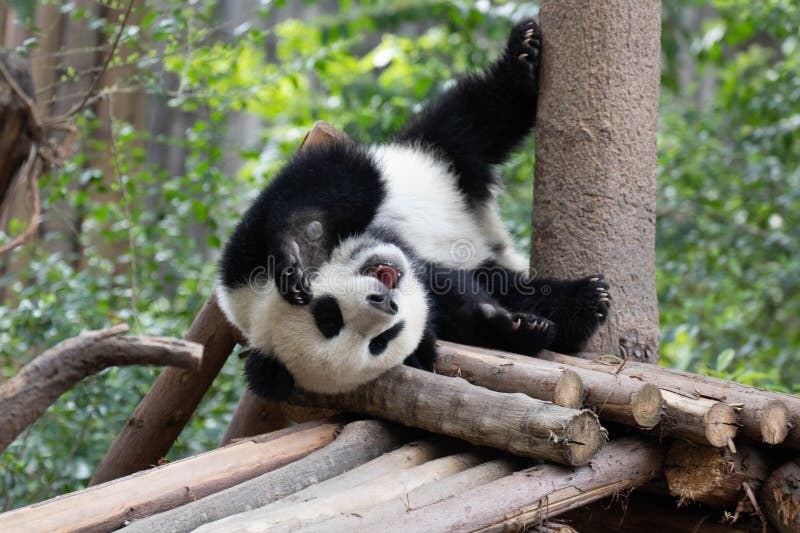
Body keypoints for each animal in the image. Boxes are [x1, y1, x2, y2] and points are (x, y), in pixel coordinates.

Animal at [217, 19, 611, 401]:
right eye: (379, 342)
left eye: (326, 314)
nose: (383, 301)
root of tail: (485, 231)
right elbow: (453, 305)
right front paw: (516, 327)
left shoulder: (241, 261)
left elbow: (313, 189)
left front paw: (300, 247)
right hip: (480, 252)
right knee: (507, 279)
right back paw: (585, 300)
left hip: (430, 159)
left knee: (472, 119)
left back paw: (523, 55)